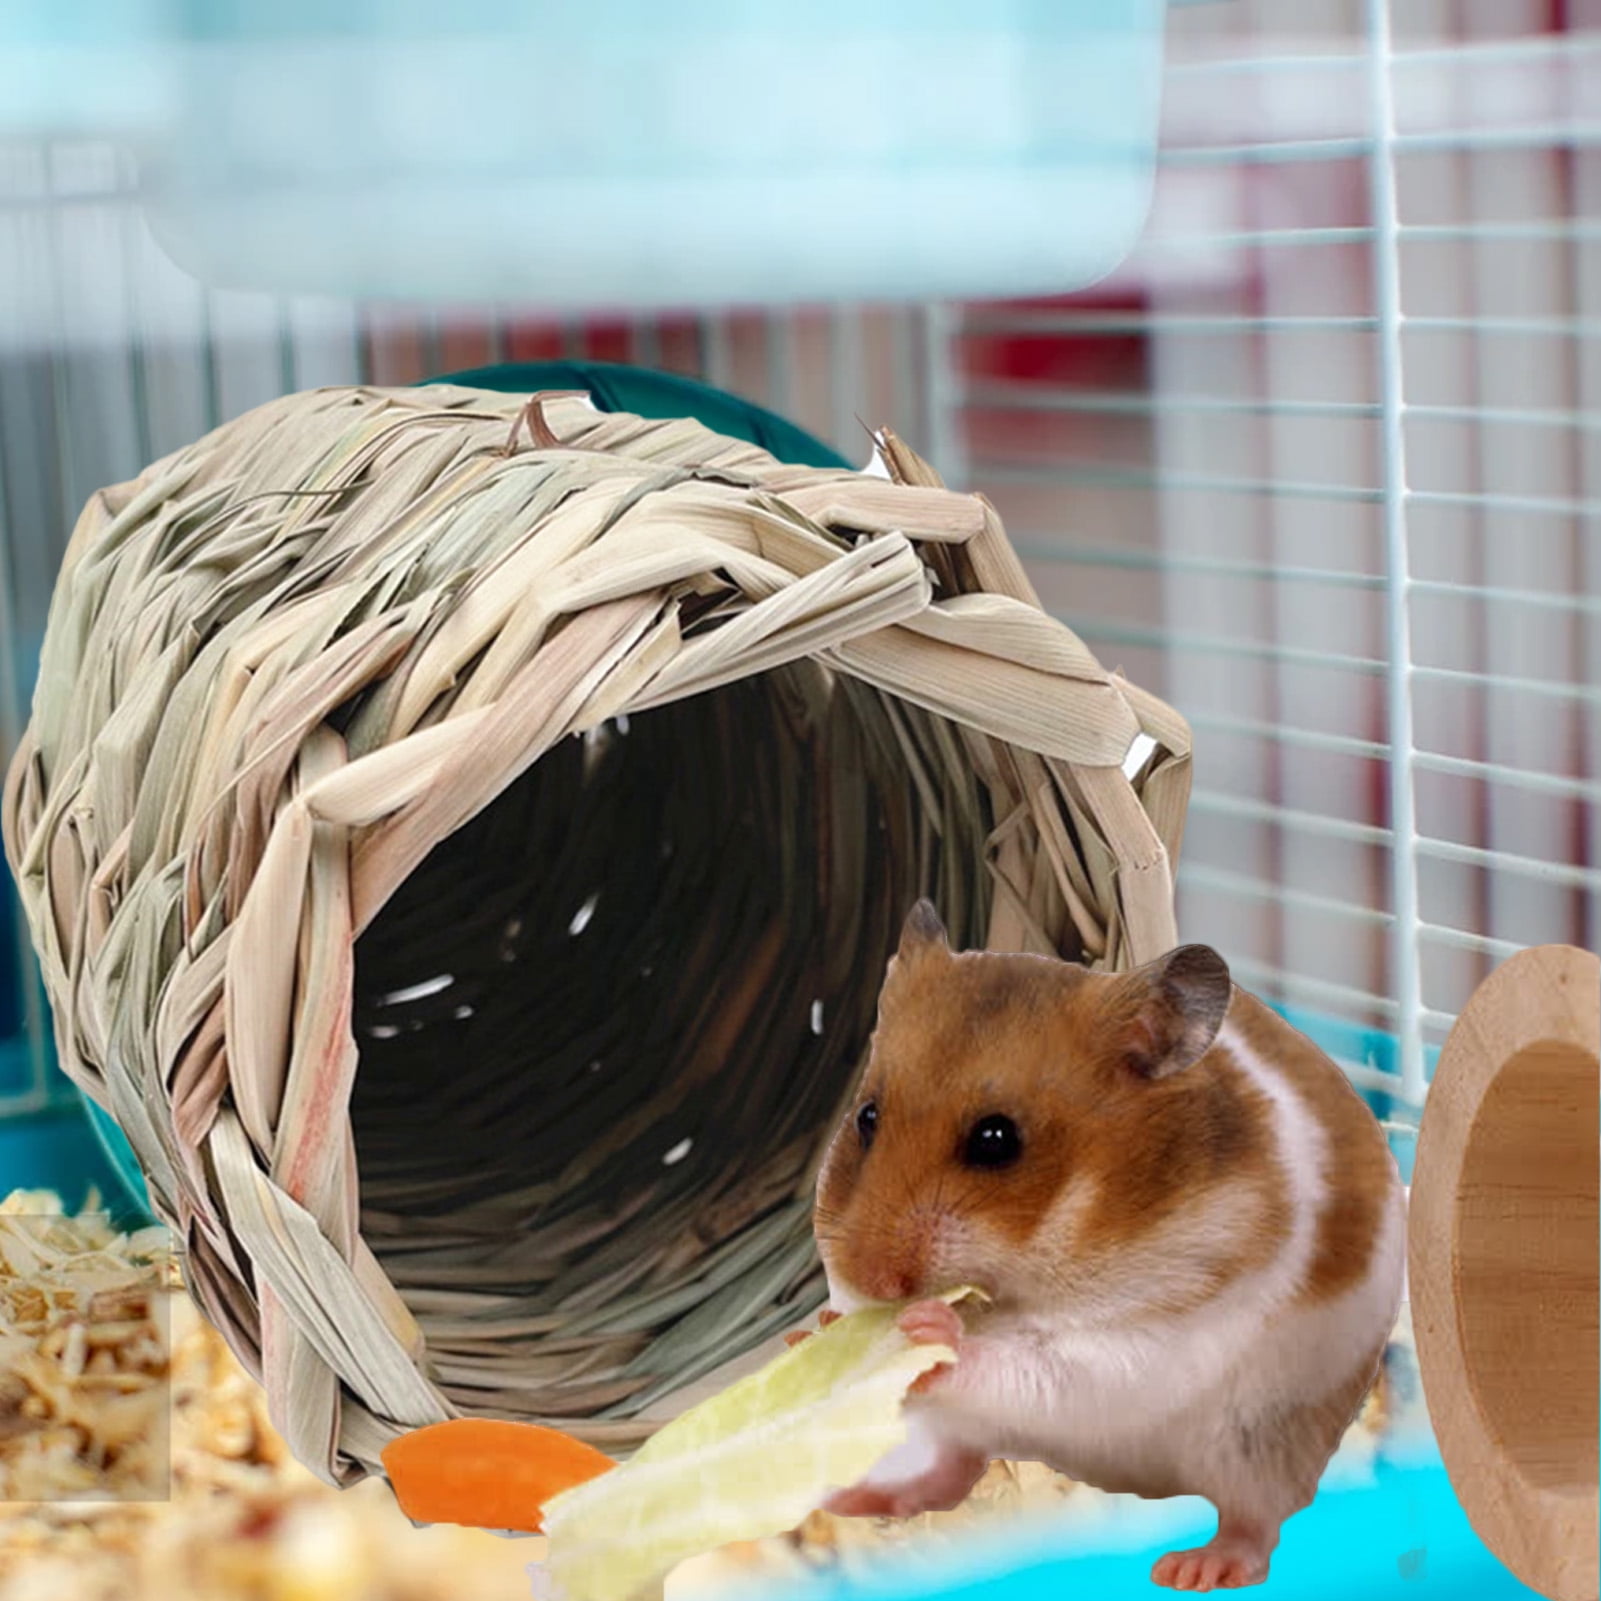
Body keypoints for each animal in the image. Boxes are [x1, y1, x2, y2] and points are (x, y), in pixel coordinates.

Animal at [808, 900, 1405, 1592]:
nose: (874, 1283)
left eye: (996, 1139)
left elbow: (1041, 1361)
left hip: (1261, 1438)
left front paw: (928, 1329)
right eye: (866, 1118)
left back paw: (1193, 1570)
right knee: (953, 1467)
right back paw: (857, 1497)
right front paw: (821, 1328)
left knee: (1255, 1522)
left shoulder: (1151, 1335)